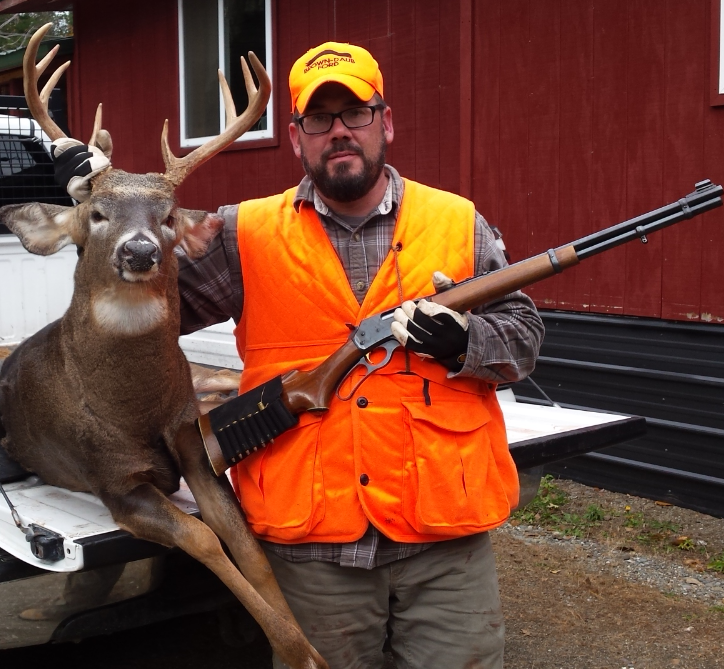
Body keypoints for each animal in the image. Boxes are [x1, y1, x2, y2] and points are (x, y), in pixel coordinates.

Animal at [0, 25, 328, 669]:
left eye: (170, 215)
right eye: (96, 213)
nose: (139, 250)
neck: (137, 408)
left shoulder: (191, 446)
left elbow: (245, 543)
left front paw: (300, 646)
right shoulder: (114, 482)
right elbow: (203, 536)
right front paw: (296, 648)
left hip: (203, 378)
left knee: (225, 384)